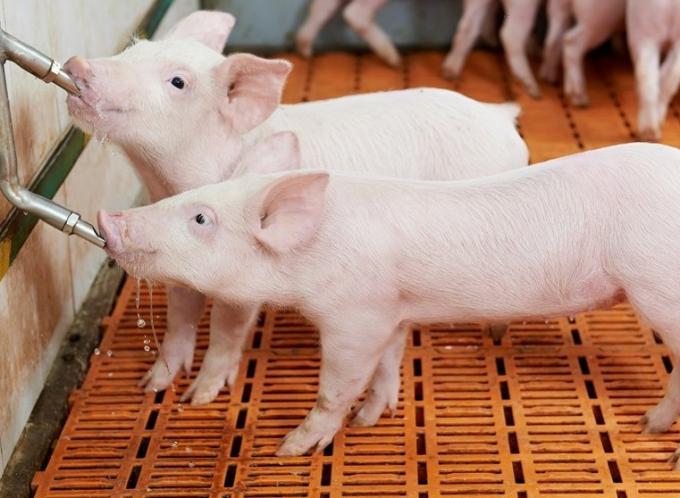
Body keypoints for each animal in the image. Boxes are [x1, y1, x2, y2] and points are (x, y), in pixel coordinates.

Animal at [64, 10, 529, 407]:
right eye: (133, 48)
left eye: (178, 82)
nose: (78, 64)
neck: (166, 178)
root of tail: (501, 118)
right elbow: (180, 313)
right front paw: (152, 386)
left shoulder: (245, 271)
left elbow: (226, 328)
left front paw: (199, 398)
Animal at [98, 139, 680, 464]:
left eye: (201, 218)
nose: (109, 218)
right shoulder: (392, 308)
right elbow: (389, 362)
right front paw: (371, 419)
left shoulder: (354, 314)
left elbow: (338, 384)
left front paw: (290, 447)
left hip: (657, 287)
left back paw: (649, 427)